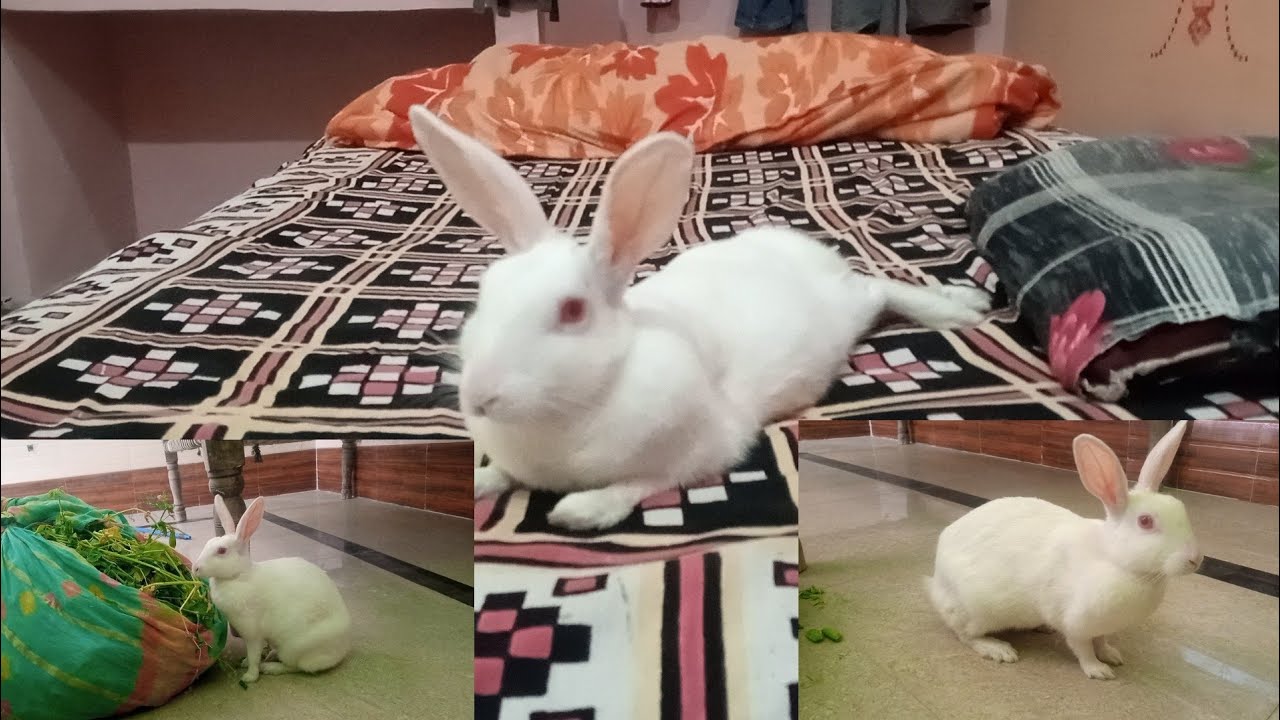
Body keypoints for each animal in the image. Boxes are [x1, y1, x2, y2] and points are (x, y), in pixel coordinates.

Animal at [193, 496, 352, 684]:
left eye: (222, 551)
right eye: (208, 543)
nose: (195, 568)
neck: (239, 575)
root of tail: (343, 650)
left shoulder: (252, 633)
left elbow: (254, 655)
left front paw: (249, 676)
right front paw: (244, 663)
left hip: (295, 648)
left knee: (295, 667)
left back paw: (270, 667)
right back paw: (271, 656)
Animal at [408, 106, 991, 531]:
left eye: (572, 310)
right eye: (485, 292)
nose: (479, 398)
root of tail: (809, 250)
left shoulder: (703, 450)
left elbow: (644, 482)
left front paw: (581, 511)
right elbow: (501, 472)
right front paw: (482, 483)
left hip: (850, 308)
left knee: (881, 286)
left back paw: (963, 306)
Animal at [926, 420, 1202, 680]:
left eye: (1181, 508)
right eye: (1145, 522)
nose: (1195, 560)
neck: (1115, 560)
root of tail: (936, 576)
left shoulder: (1101, 626)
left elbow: (1101, 641)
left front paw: (1112, 655)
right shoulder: (1076, 624)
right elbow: (1083, 649)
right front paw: (1098, 670)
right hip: (975, 611)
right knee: (964, 635)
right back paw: (999, 649)